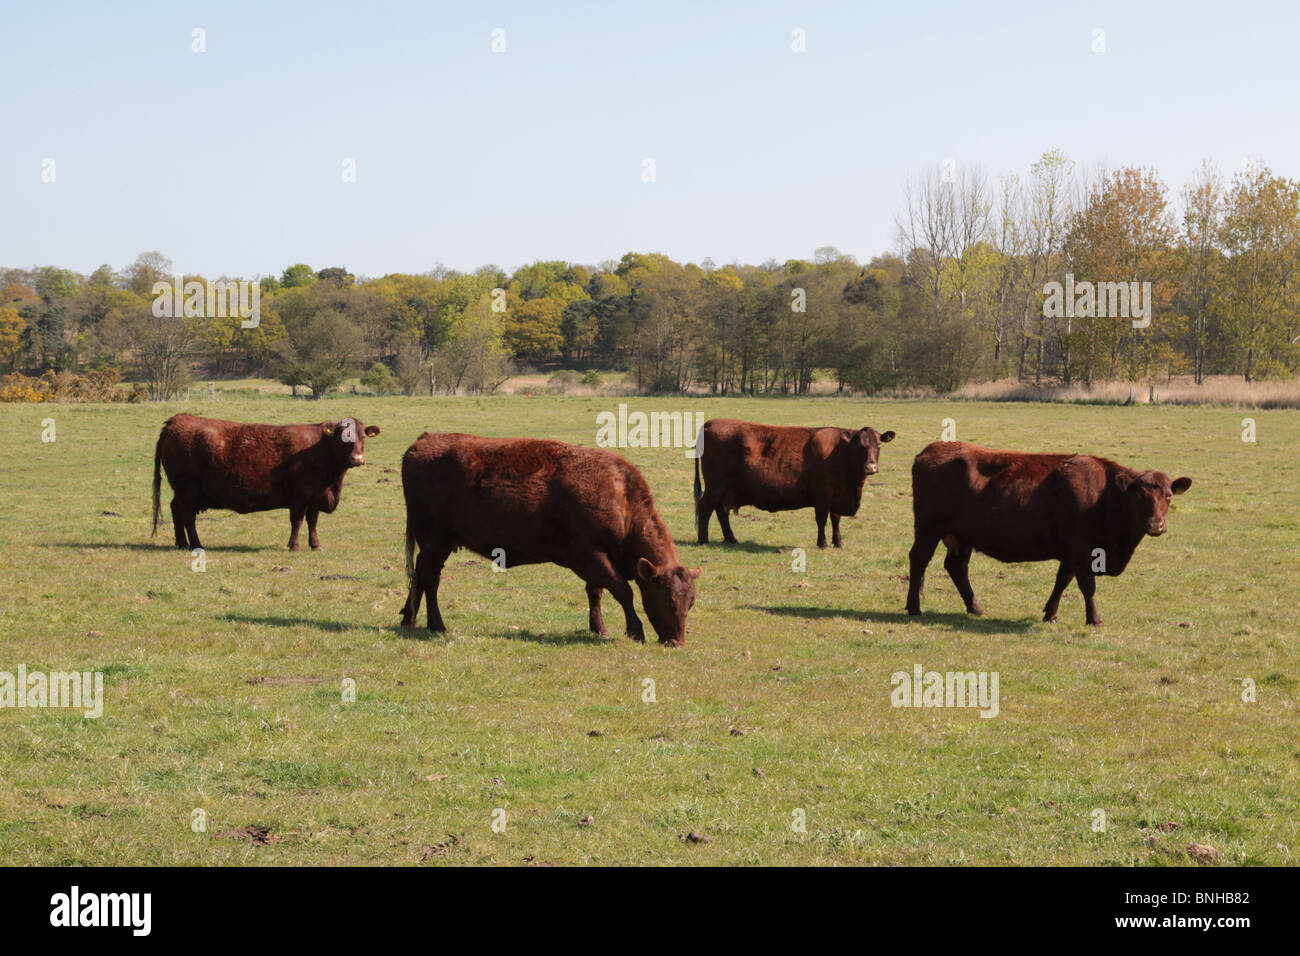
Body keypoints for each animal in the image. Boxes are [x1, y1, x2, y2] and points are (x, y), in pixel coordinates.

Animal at [151, 414, 381, 551]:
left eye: (363, 437)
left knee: (176, 510)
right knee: (188, 517)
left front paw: (315, 544)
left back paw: (181, 543)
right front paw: (294, 545)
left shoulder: (315, 496)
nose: (357, 458)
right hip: (188, 491)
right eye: (343, 437)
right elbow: (297, 521)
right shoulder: (300, 496)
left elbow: (312, 521)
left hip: (181, 492)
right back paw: (196, 544)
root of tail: (177, 419)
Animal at [400, 433, 701, 646]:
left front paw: (599, 628)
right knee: (430, 578)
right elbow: (621, 590)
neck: (620, 499)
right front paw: (635, 630)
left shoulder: (596, 562)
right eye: (668, 601)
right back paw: (437, 625)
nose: (676, 642)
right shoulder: (590, 555)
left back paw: (408, 617)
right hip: (435, 541)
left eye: (691, 603)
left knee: (420, 573)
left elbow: (596, 592)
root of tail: (422, 441)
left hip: (437, 544)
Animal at [694, 418, 895, 548]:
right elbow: (822, 519)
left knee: (721, 511)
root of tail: (710, 423)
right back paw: (703, 540)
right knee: (705, 508)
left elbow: (835, 518)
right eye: (860, 446)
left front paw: (838, 542)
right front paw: (823, 543)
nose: (871, 466)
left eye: (878, 445)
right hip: (715, 486)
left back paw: (731, 538)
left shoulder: (837, 495)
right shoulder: (823, 493)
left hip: (724, 489)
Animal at [905, 441, 1192, 626]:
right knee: (919, 560)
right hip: (929, 528)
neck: (1104, 495)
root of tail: (931, 449)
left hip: (960, 536)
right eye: (1139, 496)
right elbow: (1087, 586)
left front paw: (1050, 613)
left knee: (956, 567)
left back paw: (975, 608)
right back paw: (914, 607)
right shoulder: (1082, 551)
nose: (1156, 525)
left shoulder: (1070, 554)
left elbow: (1062, 580)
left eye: (1168, 495)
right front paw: (1094, 620)